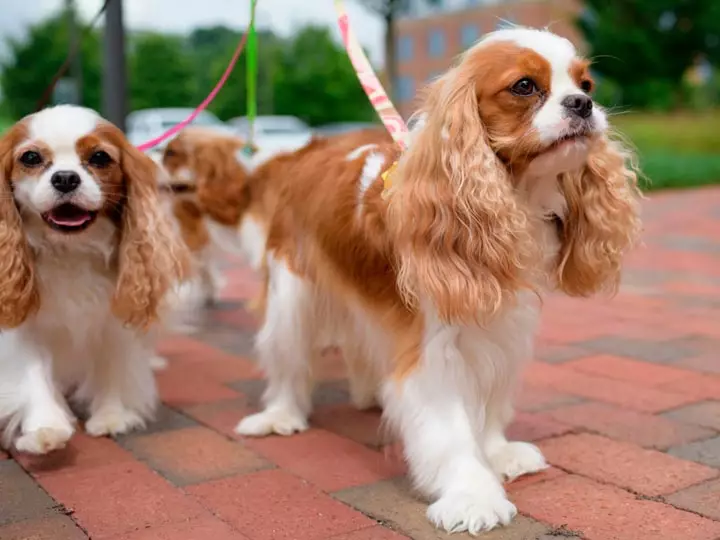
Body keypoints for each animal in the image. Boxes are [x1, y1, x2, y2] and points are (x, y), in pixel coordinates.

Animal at [0, 104, 188, 452]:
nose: (65, 178)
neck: (70, 251)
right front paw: (46, 427)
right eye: (30, 158)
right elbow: (32, 370)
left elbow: (114, 363)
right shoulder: (22, 327)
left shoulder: (113, 317)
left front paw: (112, 414)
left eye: (100, 157)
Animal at [236, 27, 640, 532]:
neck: (507, 198)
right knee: (288, 357)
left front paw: (497, 454)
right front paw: (472, 496)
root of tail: (305, 149)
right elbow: (449, 428)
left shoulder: (501, 326)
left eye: (587, 85)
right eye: (525, 86)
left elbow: (489, 399)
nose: (582, 105)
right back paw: (281, 415)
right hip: (292, 293)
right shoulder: (434, 348)